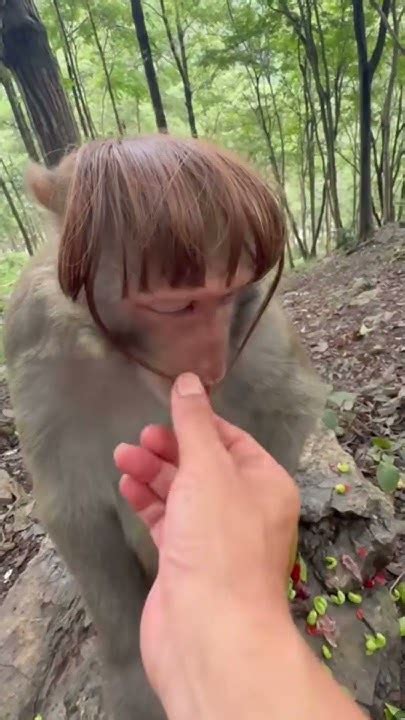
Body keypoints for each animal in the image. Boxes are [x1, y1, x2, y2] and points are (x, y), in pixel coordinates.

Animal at [4, 135, 326, 720]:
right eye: (177, 305)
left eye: (231, 294)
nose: (211, 360)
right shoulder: (31, 344)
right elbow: (74, 509)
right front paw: (133, 671)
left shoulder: (258, 326)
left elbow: (289, 407)